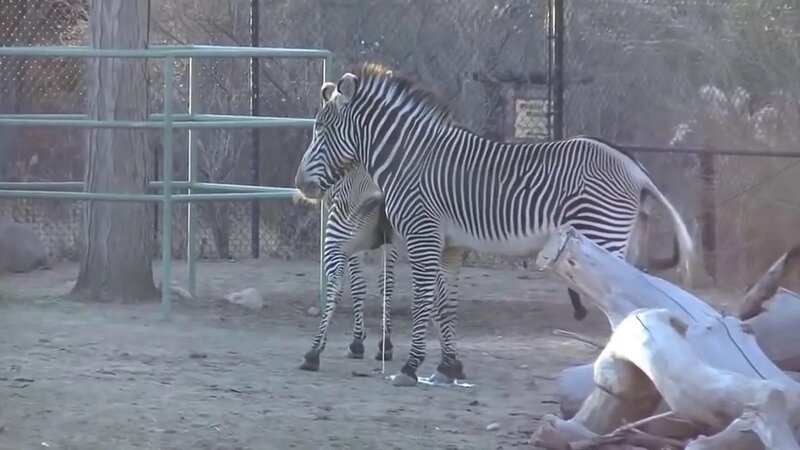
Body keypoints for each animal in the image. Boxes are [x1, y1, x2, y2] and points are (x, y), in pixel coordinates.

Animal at [294, 63, 697, 387]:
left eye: (321, 129)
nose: (301, 185)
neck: (409, 159)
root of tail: (635, 167)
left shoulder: (423, 233)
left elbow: (423, 299)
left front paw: (410, 367)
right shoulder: (449, 244)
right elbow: (445, 304)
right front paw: (448, 367)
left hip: (602, 239)